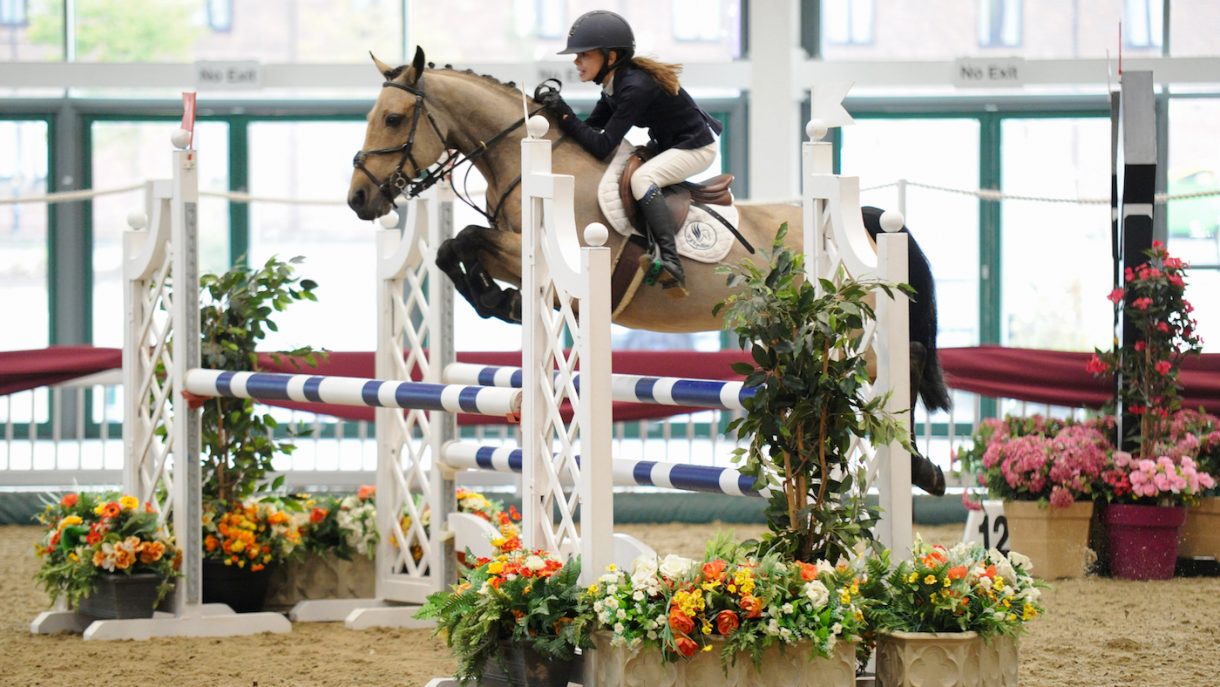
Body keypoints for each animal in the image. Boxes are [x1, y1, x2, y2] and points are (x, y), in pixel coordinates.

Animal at [347, 48, 952, 494]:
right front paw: (499, 301)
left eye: (394, 119)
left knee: (905, 358)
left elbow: (467, 240)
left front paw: (499, 301)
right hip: (795, 332)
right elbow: (453, 248)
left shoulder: (546, 258)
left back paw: (923, 469)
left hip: (848, 325)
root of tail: (862, 220)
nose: (358, 201)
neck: (533, 163)